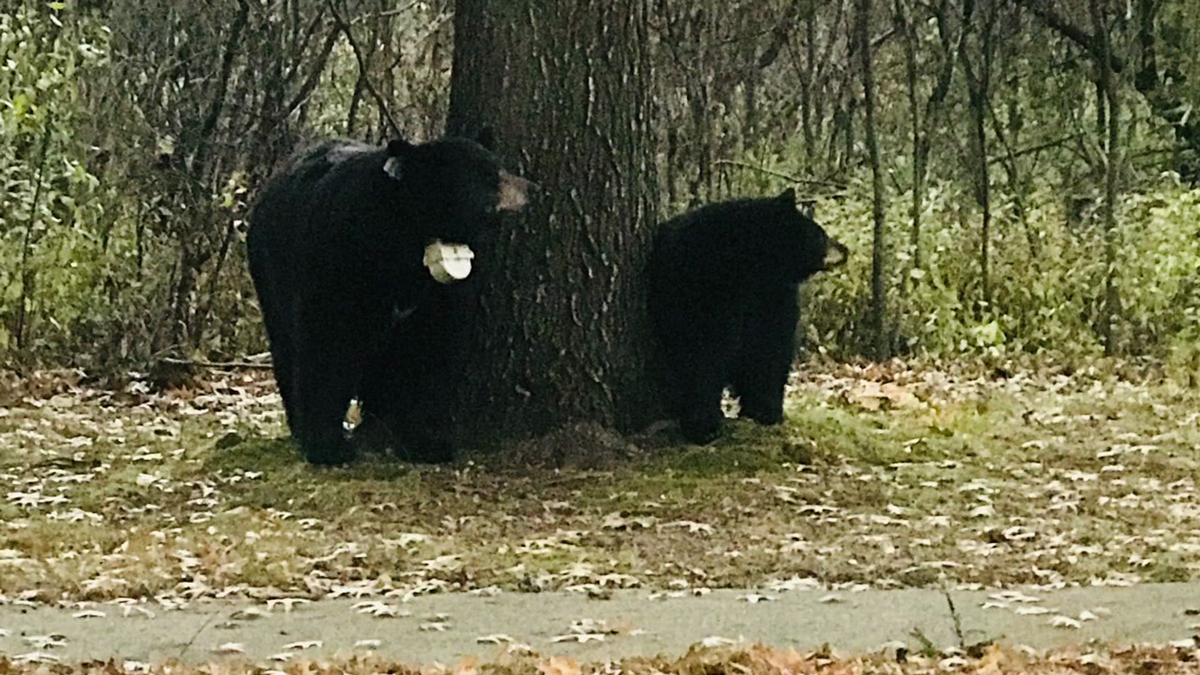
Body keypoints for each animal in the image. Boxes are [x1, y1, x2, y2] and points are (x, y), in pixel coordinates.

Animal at [247, 131, 534, 465]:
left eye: (496, 168)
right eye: (487, 174)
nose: (531, 190)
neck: (408, 237)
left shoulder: (439, 290)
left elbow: (432, 349)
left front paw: (425, 440)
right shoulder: (339, 257)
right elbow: (327, 345)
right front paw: (328, 446)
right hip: (270, 271)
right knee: (286, 346)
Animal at [648, 188, 848, 444]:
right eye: (821, 234)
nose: (844, 250)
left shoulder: (773, 298)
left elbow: (769, 350)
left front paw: (765, 410)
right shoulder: (698, 288)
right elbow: (700, 353)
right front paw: (704, 425)